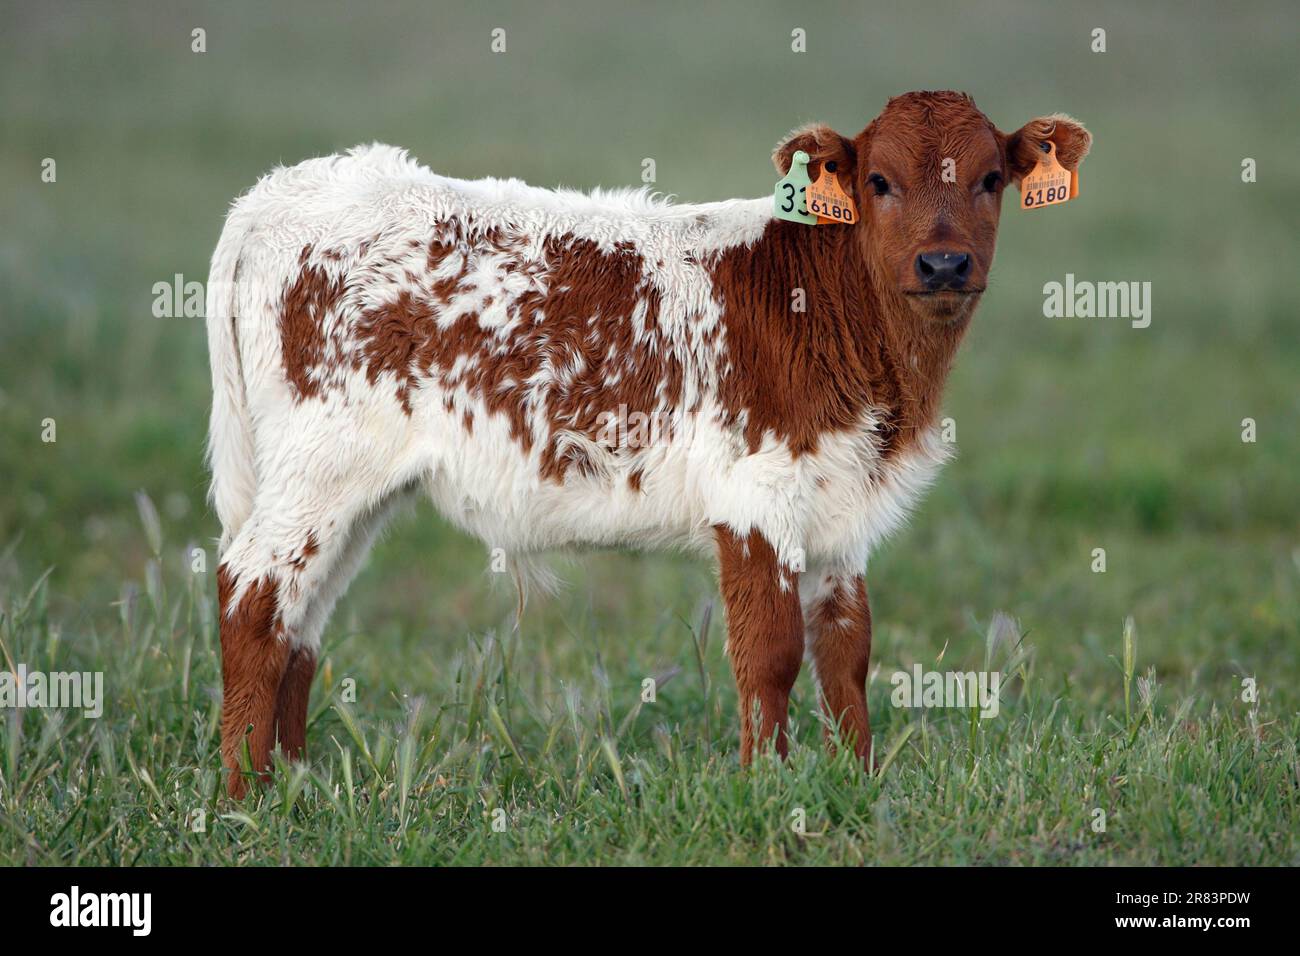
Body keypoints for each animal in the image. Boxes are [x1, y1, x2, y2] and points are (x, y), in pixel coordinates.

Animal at [206, 90, 1090, 796]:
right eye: (879, 182)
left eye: (989, 180)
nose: (943, 265)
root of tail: (286, 189)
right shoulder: (755, 497)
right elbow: (770, 653)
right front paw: (766, 788)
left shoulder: (840, 510)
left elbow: (846, 651)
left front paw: (858, 784)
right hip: (320, 469)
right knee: (253, 594)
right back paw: (248, 794)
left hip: (353, 491)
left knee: (301, 622)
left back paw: (295, 780)